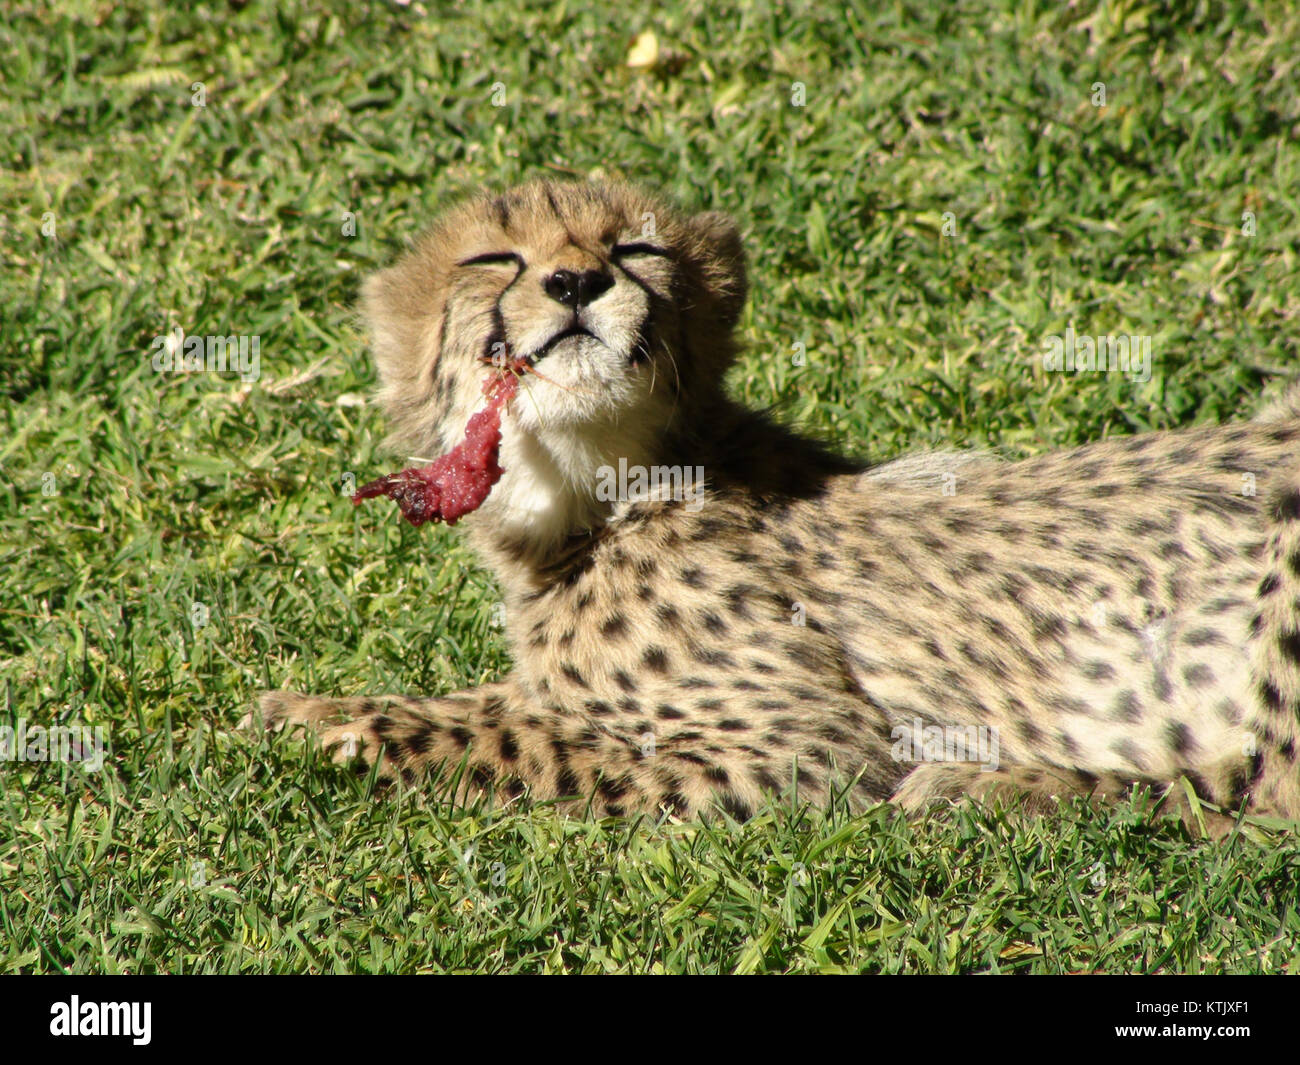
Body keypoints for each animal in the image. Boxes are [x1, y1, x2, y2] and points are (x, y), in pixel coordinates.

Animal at [252, 177, 1300, 831]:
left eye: (636, 247)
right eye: (494, 258)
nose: (577, 280)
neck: (594, 493)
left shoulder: (809, 750)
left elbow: (529, 740)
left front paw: (330, 730)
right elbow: (494, 701)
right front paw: (308, 704)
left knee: (1258, 819)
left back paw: (986, 791)